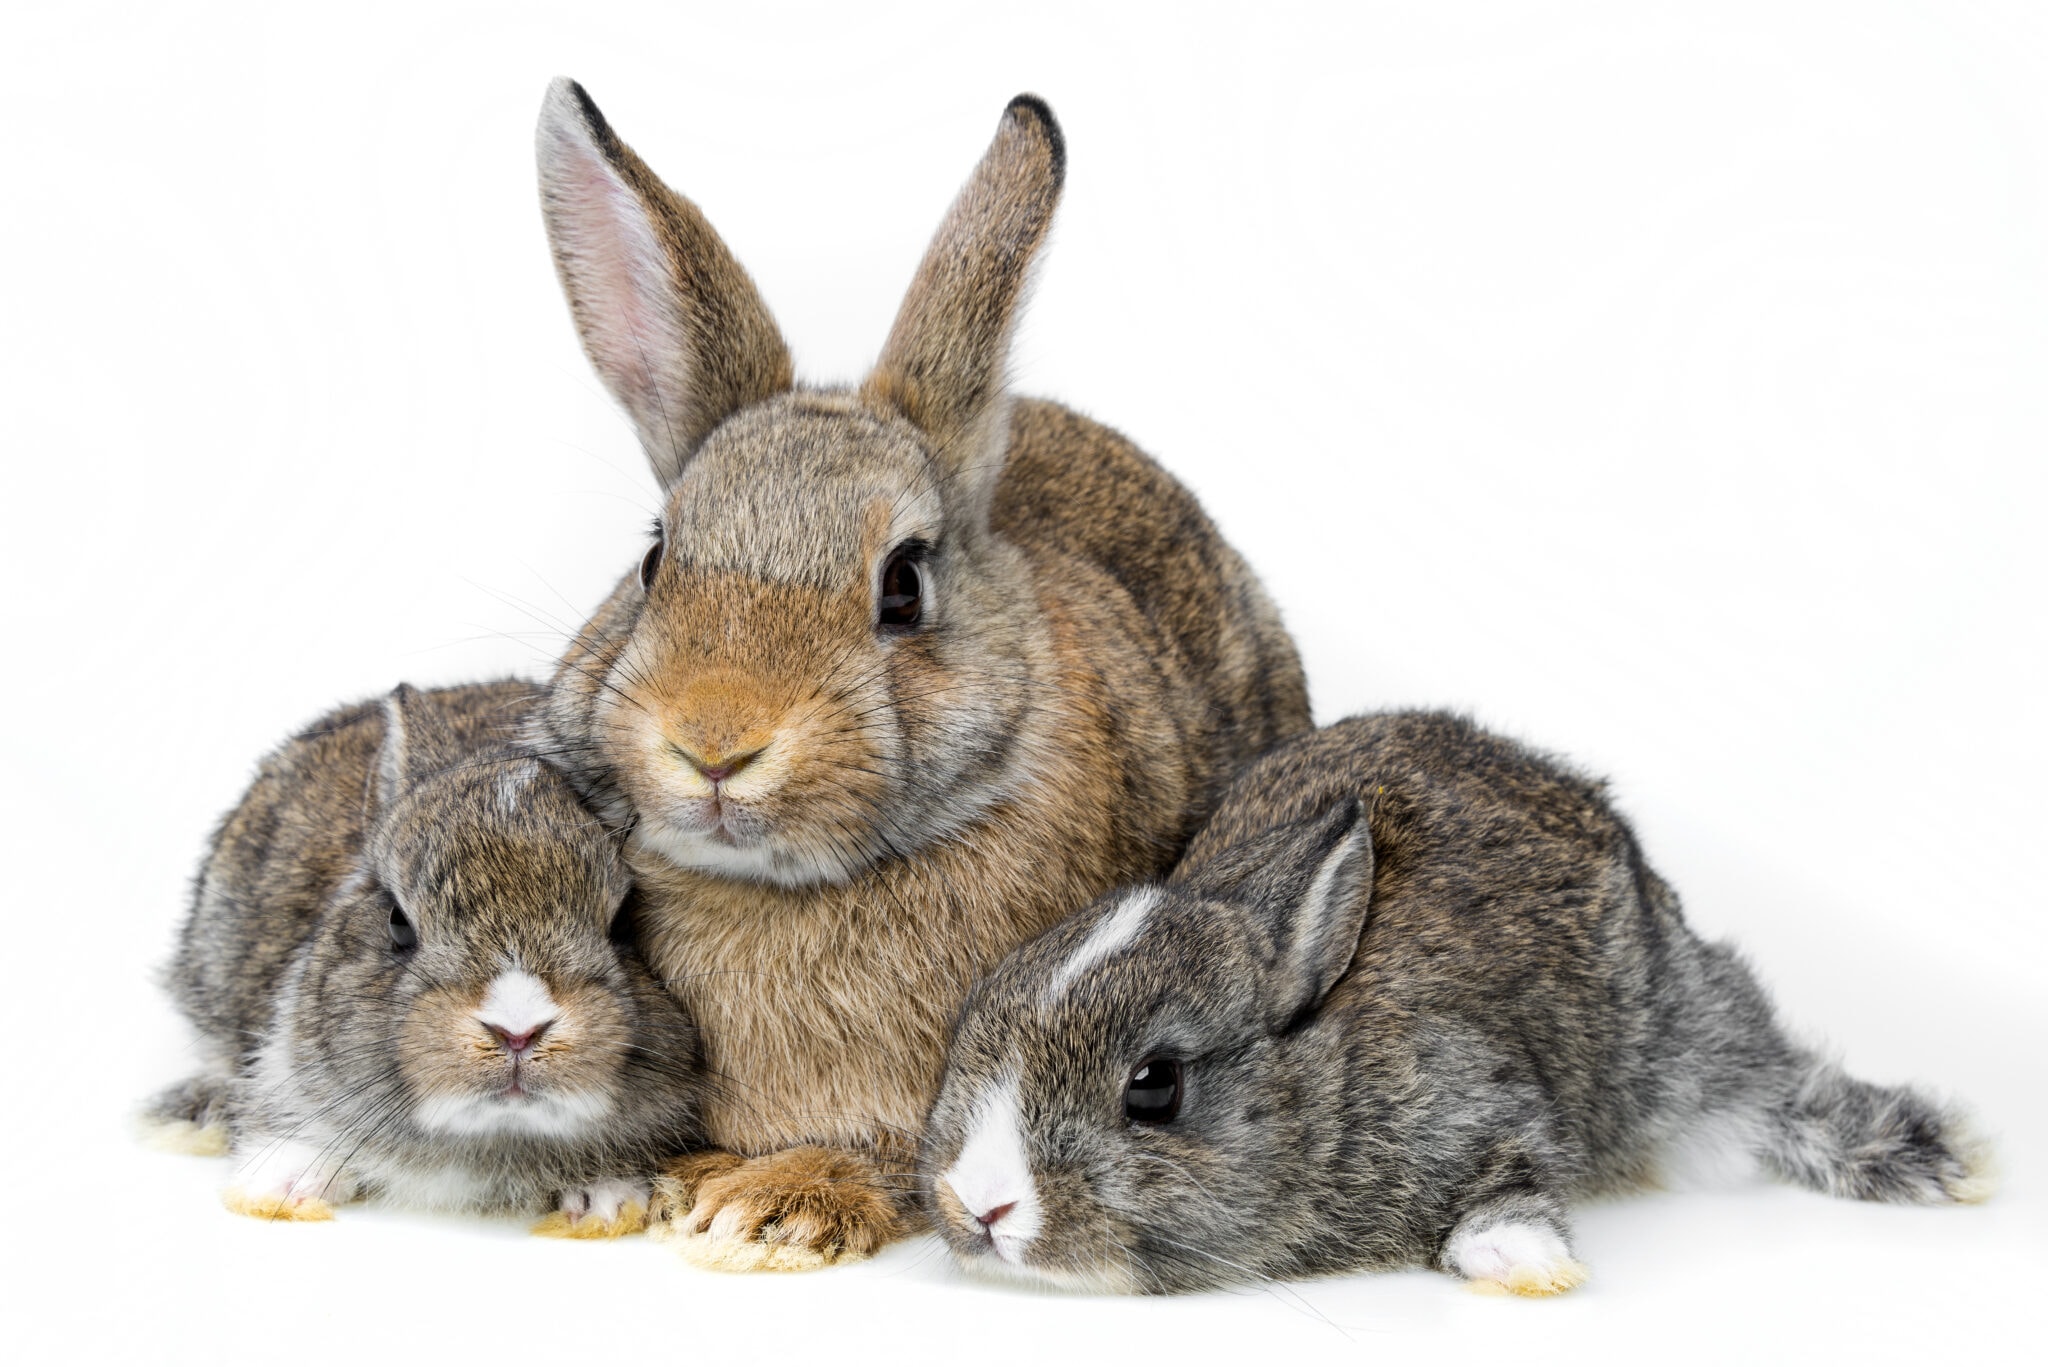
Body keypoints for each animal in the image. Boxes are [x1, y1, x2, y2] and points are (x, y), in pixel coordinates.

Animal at [921, 710, 1994, 1294]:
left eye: (1155, 1086)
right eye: (970, 1019)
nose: (979, 1202)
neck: (1324, 1077)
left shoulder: (1487, 1099)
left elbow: (1508, 1180)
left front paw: (1527, 1265)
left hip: (1677, 1043)